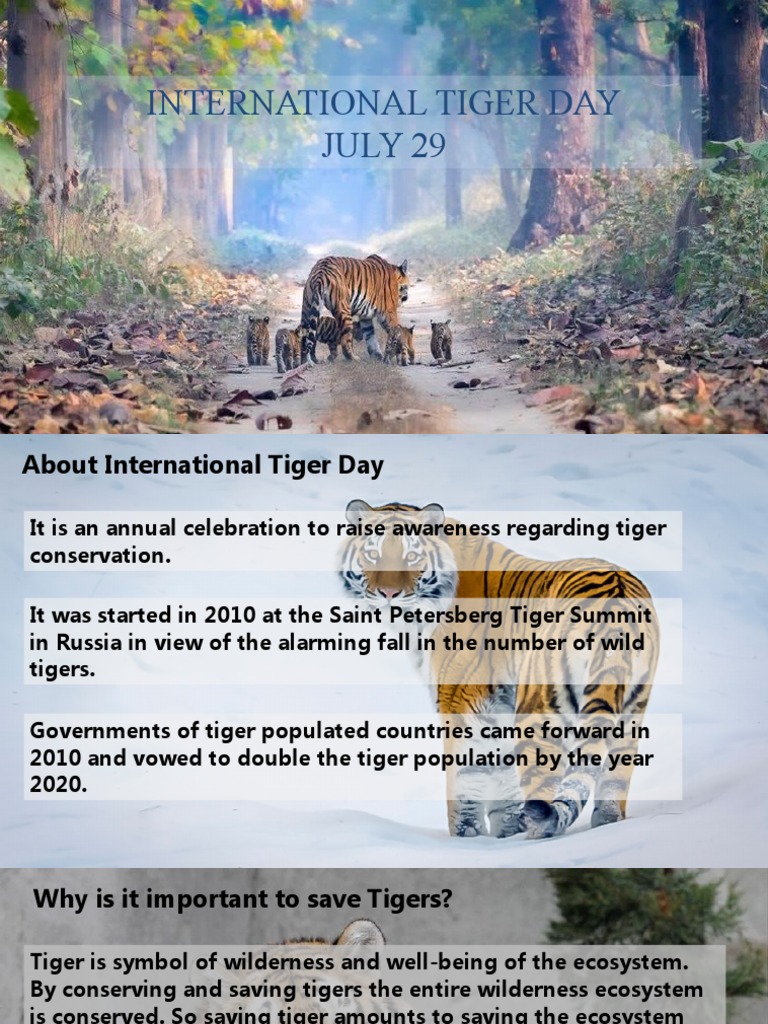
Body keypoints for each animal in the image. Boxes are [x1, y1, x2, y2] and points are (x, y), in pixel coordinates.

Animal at [339, 500, 659, 841]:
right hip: (629, 715)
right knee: (611, 792)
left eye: (411, 557)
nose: (388, 594)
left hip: (537, 713)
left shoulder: (459, 703)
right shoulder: (497, 708)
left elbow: (465, 784)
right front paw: (502, 833)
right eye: (373, 555)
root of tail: (616, 599)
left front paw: (469, 838)